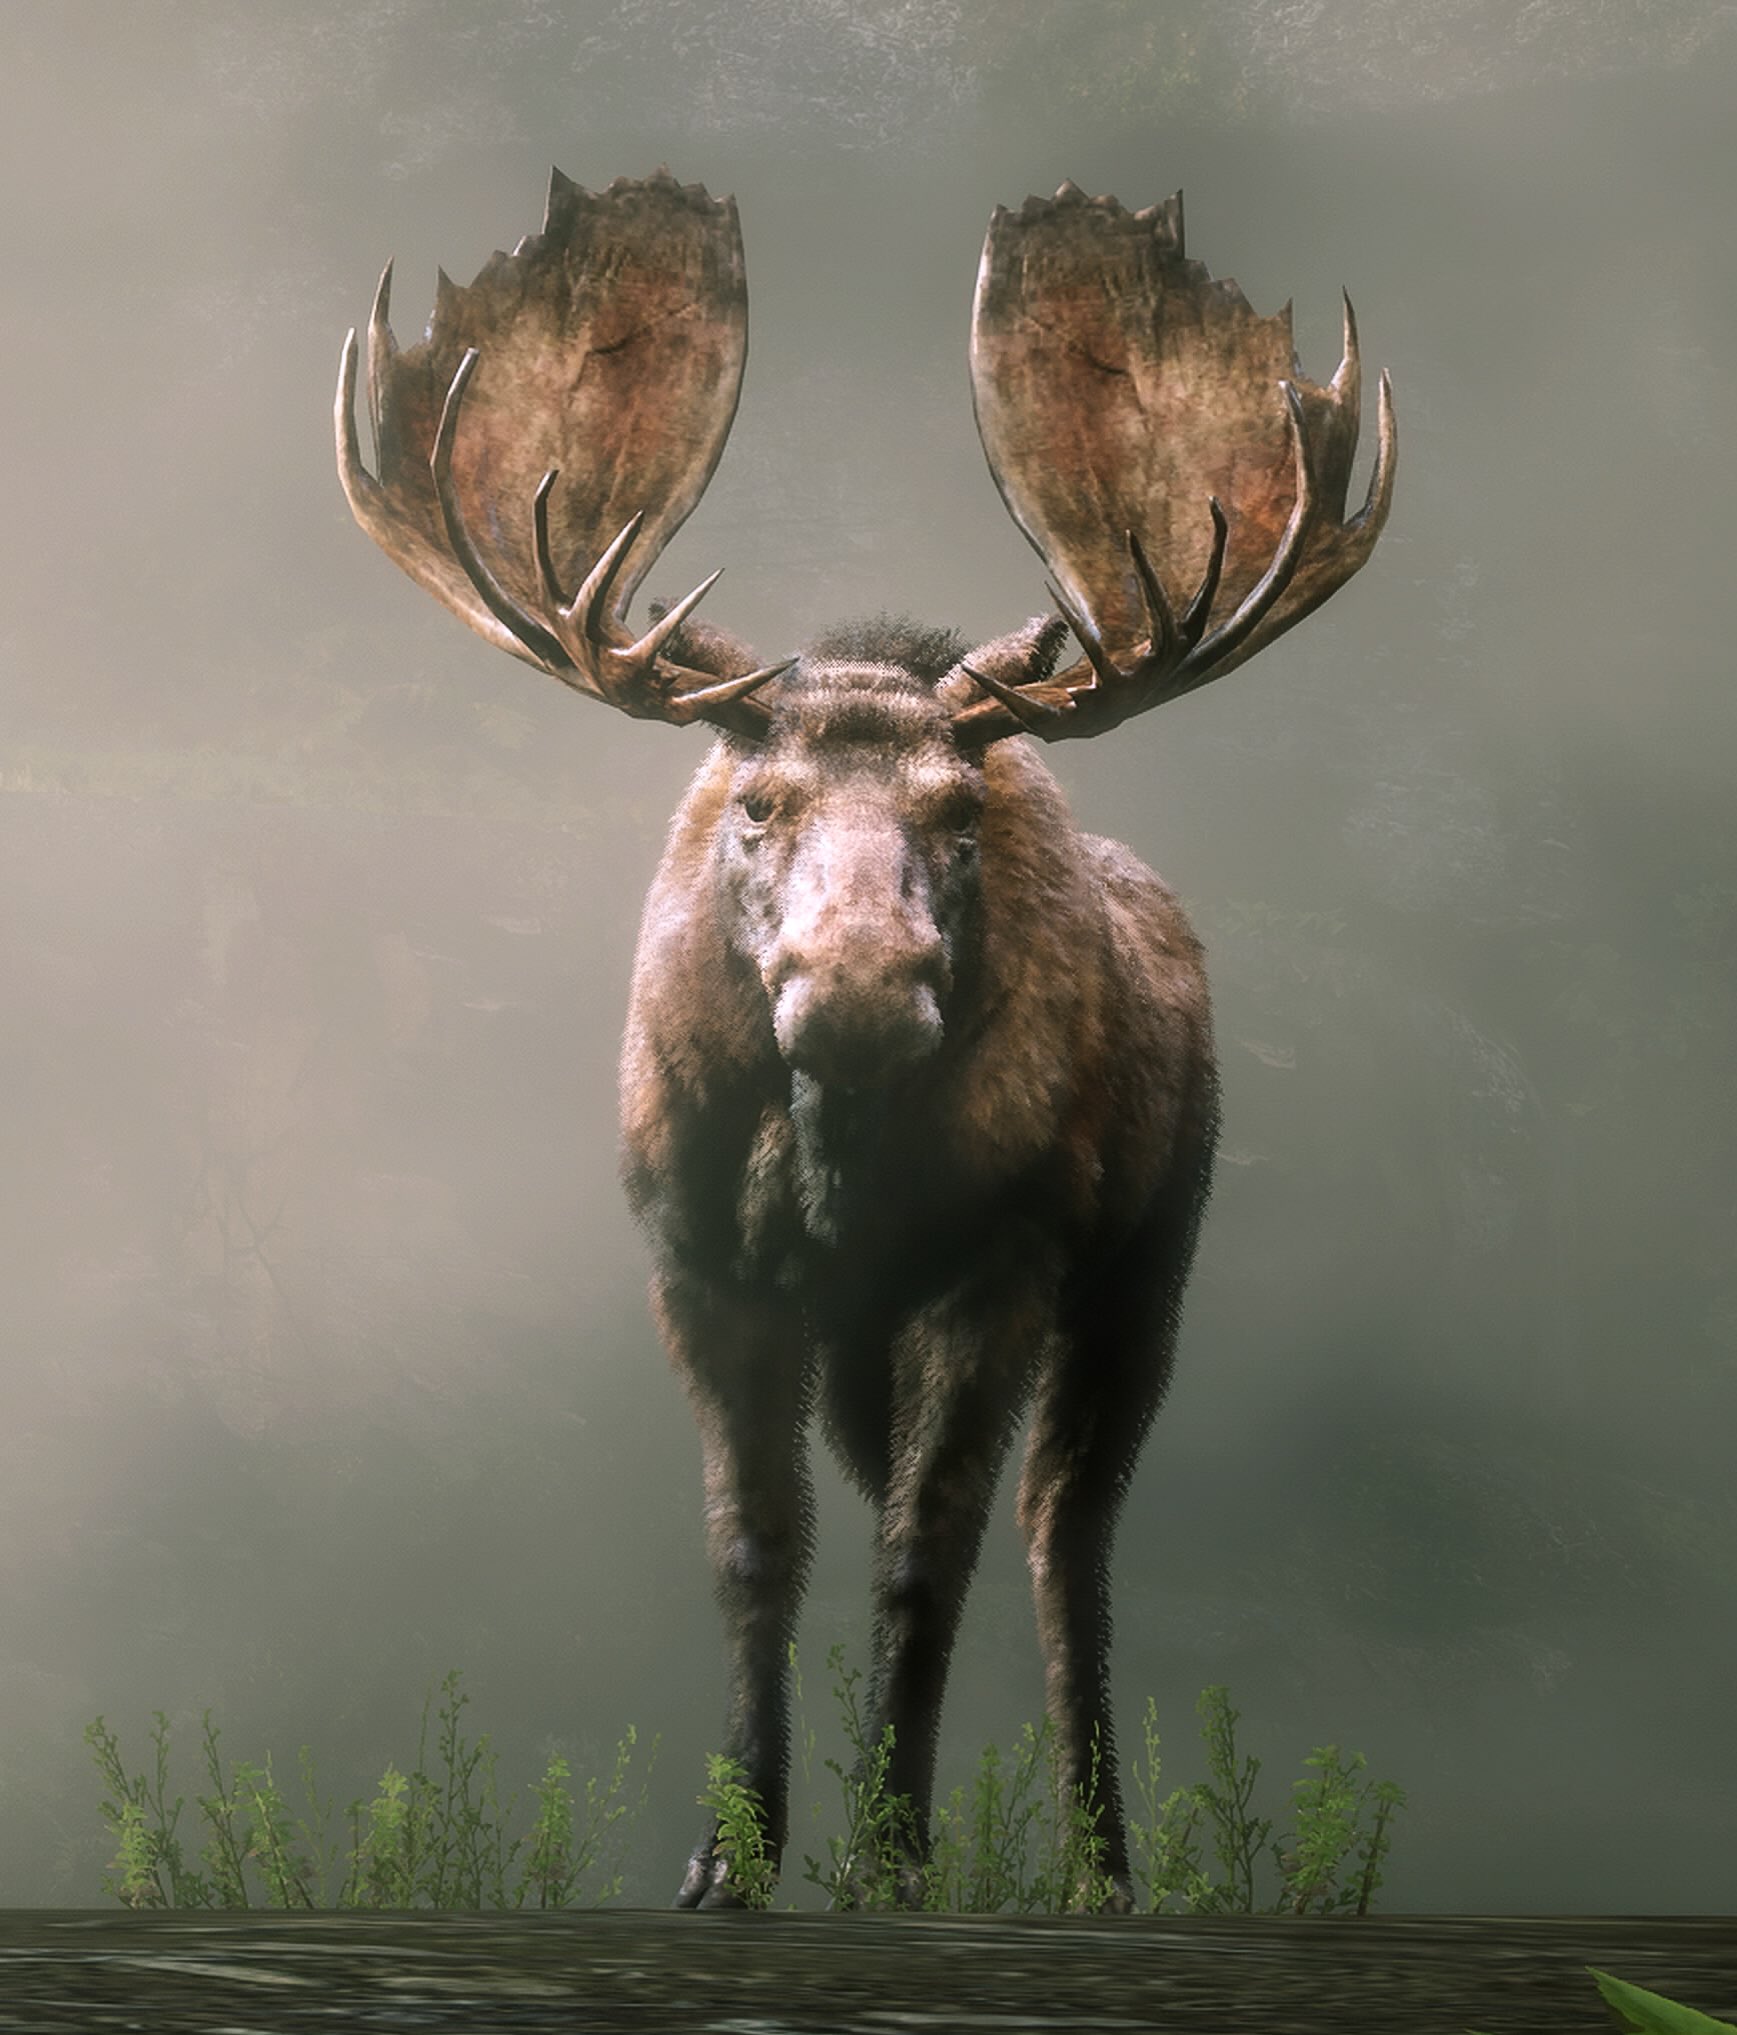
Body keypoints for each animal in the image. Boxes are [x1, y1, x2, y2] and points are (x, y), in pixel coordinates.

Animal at [335, 165, 1395, 1913]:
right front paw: (728, 1853)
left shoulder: (1003, 1258)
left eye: (960, 813)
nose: (860, 984)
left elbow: (921, 1554)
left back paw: (1098, 1867)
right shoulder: (698, 1261)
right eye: (757, 802)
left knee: (1065, 1530)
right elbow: (753, 1548)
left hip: (1143, 1267)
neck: (834, 1159)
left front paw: (893, 1853)